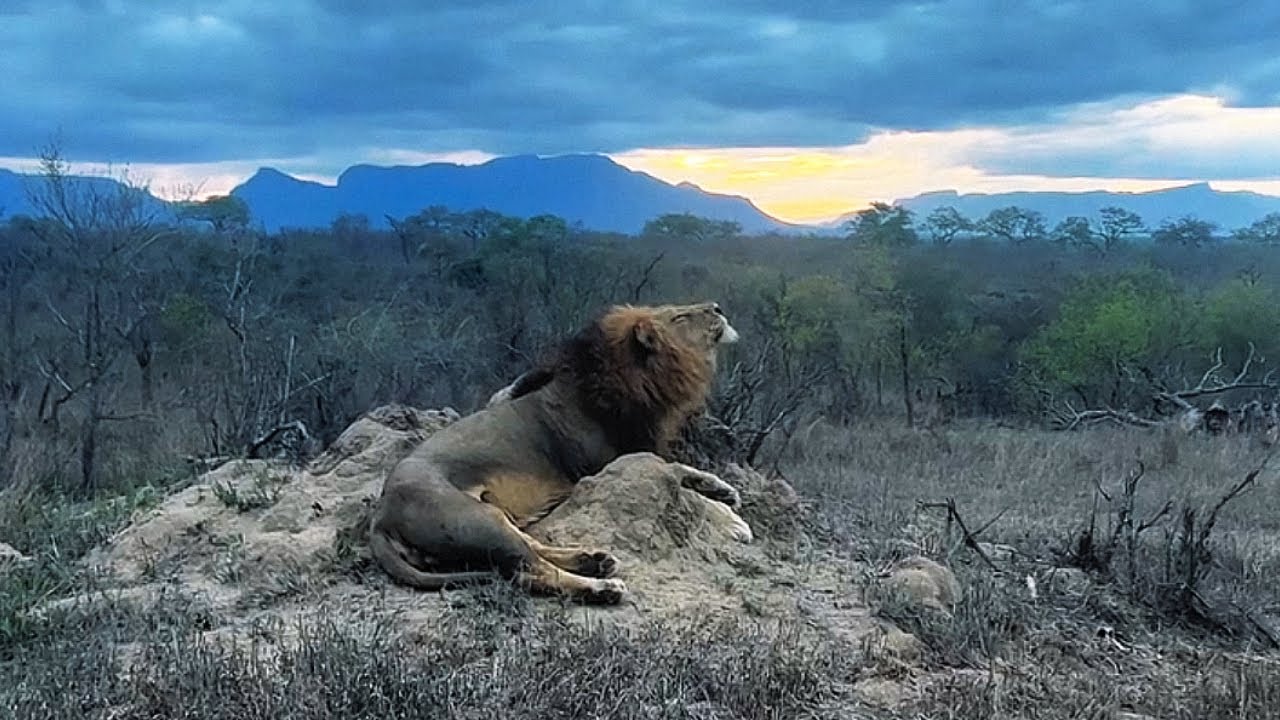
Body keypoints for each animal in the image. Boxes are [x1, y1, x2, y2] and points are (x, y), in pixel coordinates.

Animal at [369, 301, 744, 604]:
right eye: (679, 316)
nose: (718, 306)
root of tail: (380, 516)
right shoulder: (607, 464)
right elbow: (676, 470)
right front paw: (731, 513)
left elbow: (679, 467)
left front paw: (723, 489)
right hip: (474, 519)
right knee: (530, 571)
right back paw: (602, 588)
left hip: (494, 514)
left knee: (532, 547)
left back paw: (593, 559)